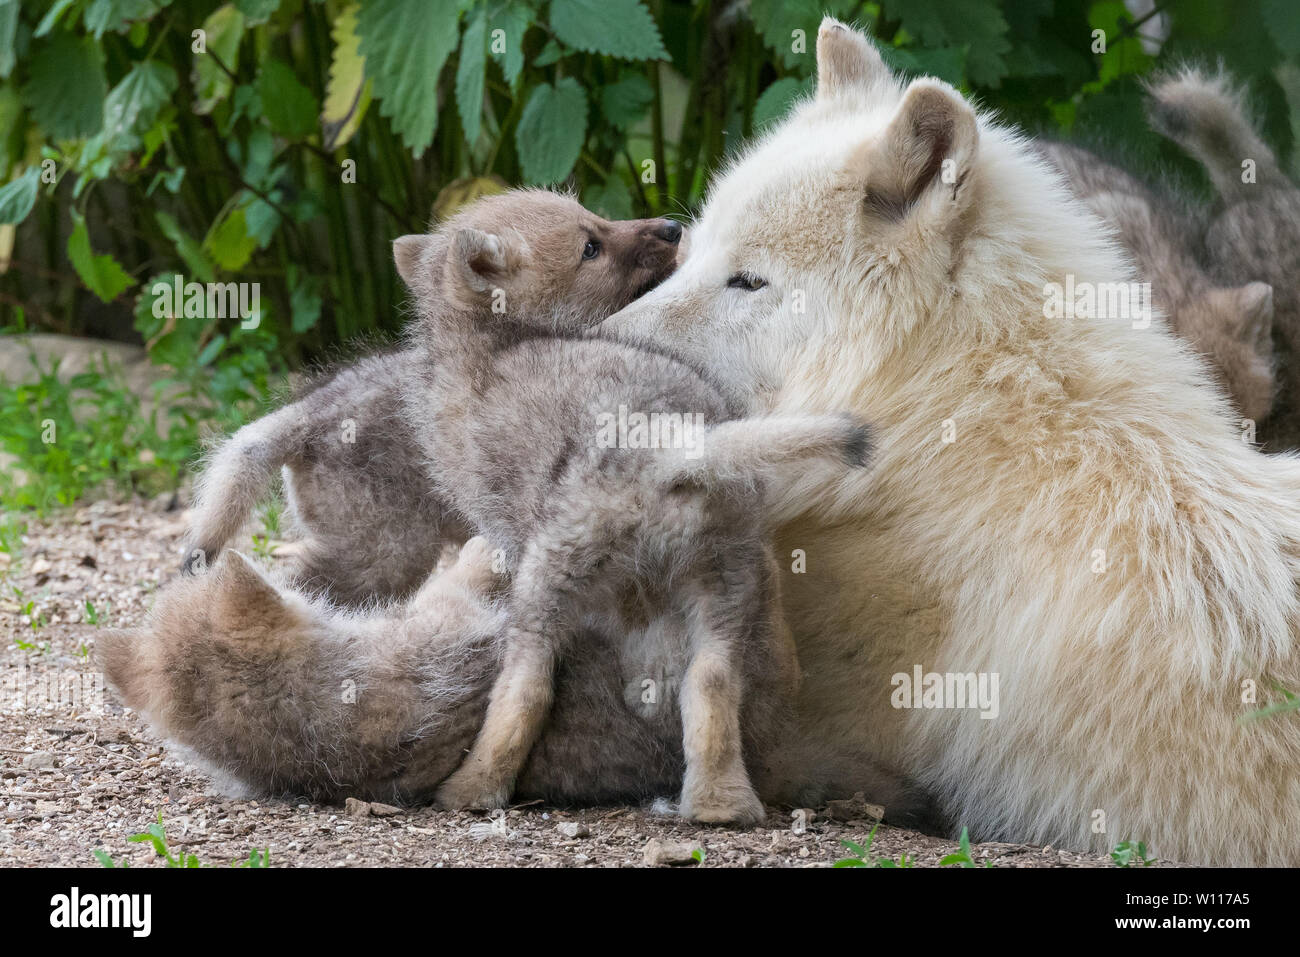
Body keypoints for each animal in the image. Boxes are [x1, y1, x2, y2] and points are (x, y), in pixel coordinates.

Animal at [393, 214, 878, 824]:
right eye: (590, 247)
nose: (673, 227)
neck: (481, 349)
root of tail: (674, 445)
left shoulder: (507, 532)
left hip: (547, 584)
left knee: (527, 687)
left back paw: (473, 787)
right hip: (724, 581)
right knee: (712, 680)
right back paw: (720, 801)